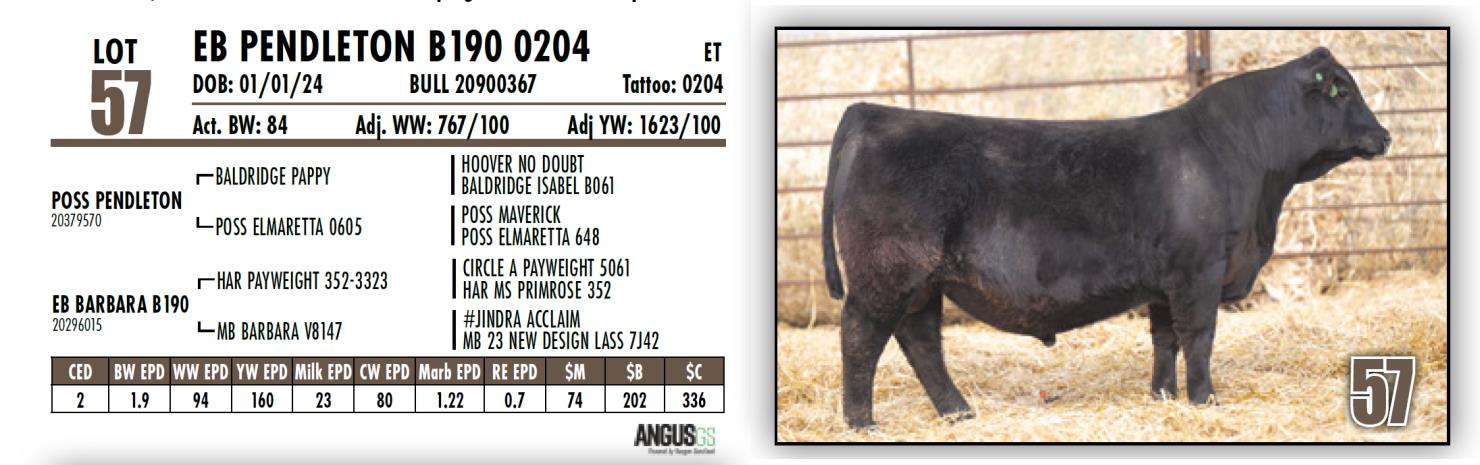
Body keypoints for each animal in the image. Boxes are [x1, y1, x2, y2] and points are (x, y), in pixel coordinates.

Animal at [820, 47, 1391, 429]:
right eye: (1342, 90)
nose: (1384, 135)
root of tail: (874, 113)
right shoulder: (1199, 272)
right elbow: (1198, 338)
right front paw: (1204, 400)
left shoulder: (1165, 281)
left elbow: (1165, 340)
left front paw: (1163, 396)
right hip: (887, 273)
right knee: (860, 337)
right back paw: (862, 422)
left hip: (921, 282)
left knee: (921, 342)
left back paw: (958, 412)